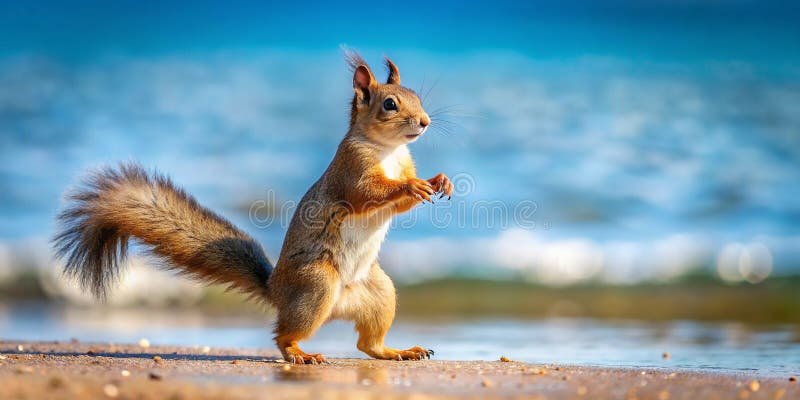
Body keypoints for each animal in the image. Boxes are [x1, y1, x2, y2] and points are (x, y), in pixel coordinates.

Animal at [53, 52, 454, 364]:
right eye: (390, 104)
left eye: (417, 96)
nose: (425, 122)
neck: (388, 150)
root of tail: (276, 292)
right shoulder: (349, 171)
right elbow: (365, 194)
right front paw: (412, 186)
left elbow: (399, 206)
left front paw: (440, 181)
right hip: (317, 284)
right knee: (283, 335)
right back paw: (299, 353)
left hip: (379, 294)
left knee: (367, 344)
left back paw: (398, 351)